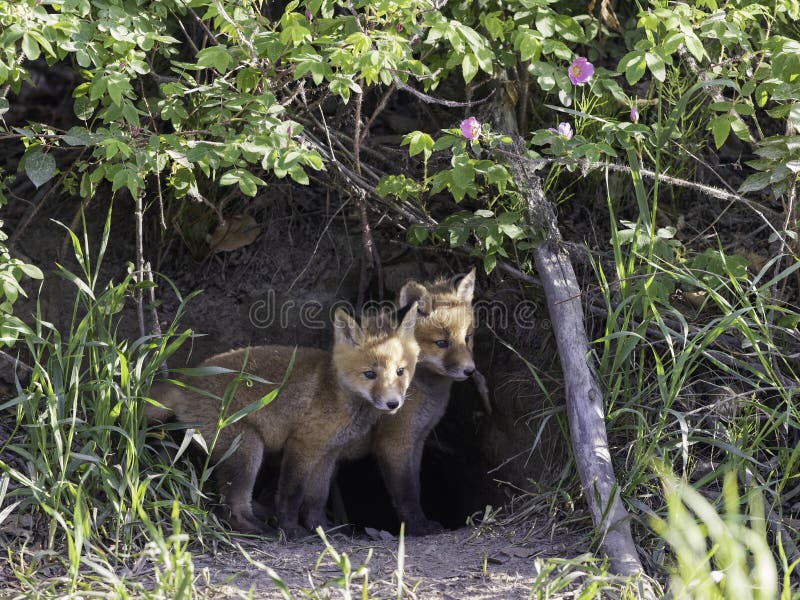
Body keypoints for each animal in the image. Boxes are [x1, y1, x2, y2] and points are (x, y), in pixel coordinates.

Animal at [146, 305, 420, 538]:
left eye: (400, 371)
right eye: (370, 374)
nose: (393, 404)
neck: (337, 394)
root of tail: (185, 383)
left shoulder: (328, 453)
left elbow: (317, 499)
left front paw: (323, 530)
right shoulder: (302, 445)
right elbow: (291, 495)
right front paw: (291, 529)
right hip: (247, 449)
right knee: (231, 505)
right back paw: (258, 530)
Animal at [301, 269, 476, 535]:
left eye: (467, 338)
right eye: (442, 343)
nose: (470, 370)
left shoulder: (417, 441)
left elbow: (415, 487)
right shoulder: (394, 442)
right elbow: (405, 493)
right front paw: (417, 526)